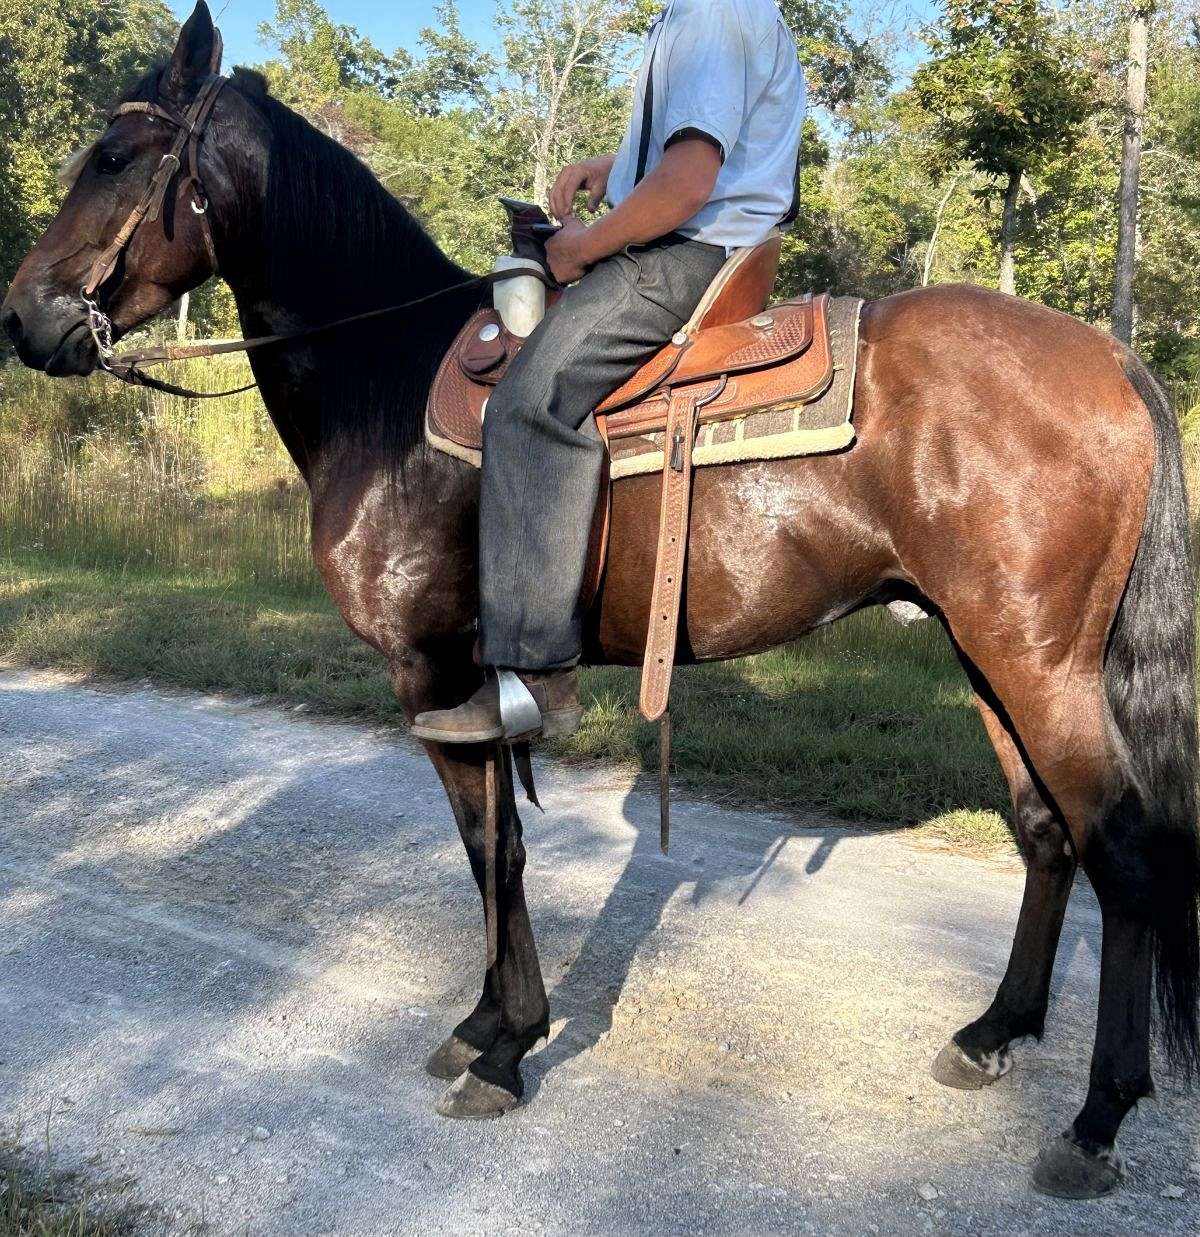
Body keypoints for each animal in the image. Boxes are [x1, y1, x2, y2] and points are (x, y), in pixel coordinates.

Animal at [3, 2, 1196, 1199]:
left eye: (116, 158)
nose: (21, 320)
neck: (382, 382)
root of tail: (1113, 361)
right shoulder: (471, 686)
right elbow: (492, 847)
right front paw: (486, 1023)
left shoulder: (432, 673)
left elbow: (493, 849)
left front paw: (506, 1045)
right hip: (982, 649)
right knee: (1045, 831)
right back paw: (994, 1031)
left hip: (1034, 660)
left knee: (1125, 850)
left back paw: (1097, 1116)